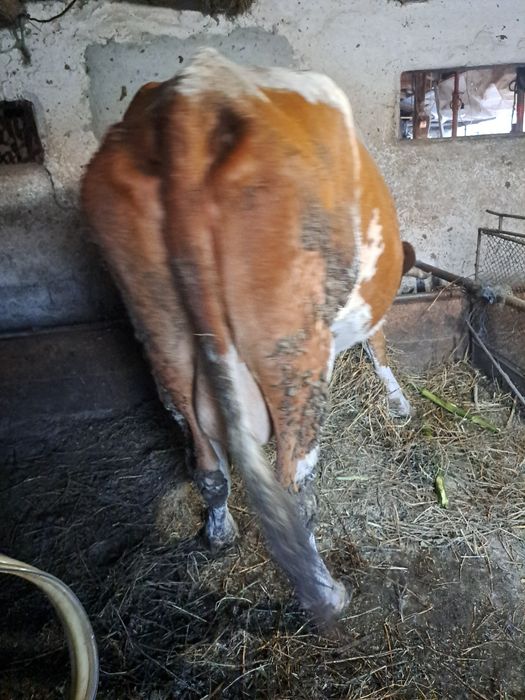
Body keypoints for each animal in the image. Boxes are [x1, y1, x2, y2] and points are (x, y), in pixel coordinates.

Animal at [81, 49, 413, 623]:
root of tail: (194, 93)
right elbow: (381, 350)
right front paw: (400, 404)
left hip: (160, 333)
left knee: (208, 462)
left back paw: (220, 534)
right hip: (295, 352)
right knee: (292, 485)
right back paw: (326, 594)